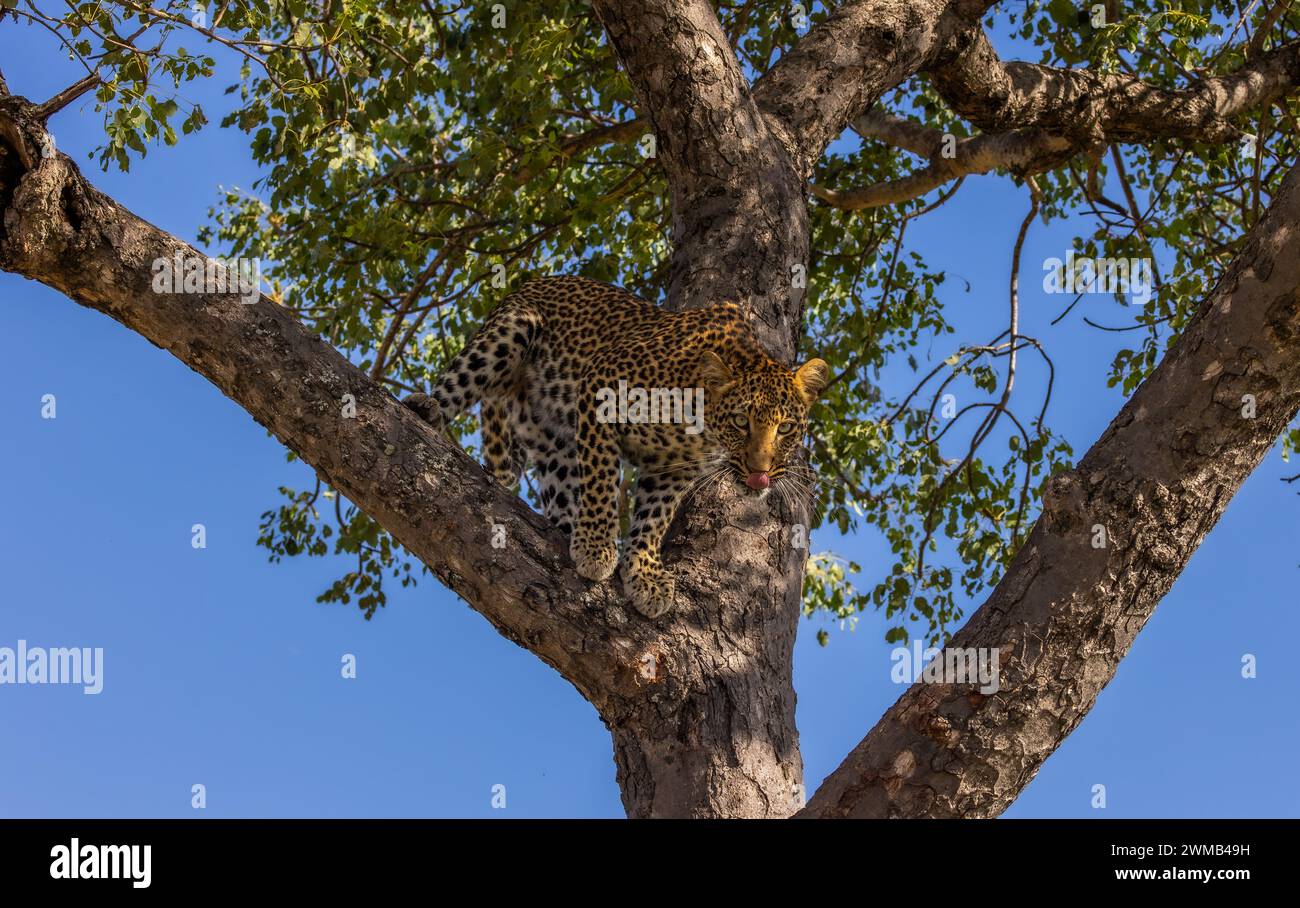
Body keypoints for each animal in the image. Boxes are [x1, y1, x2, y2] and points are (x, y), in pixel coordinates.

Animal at [403, 275, 828, 618]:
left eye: (786, 428)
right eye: (741, 422)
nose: (760, 473)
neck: (700, 421)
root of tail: (533, 282)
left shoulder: (673, 468)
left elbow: (654, 518)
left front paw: (644, 573)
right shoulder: (600, 389)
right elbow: (602, 483)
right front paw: (596, 547)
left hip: (552, 439)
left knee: (558, 483)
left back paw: (564, 528)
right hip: (508, 333)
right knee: (460, 380)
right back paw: (427, 407)